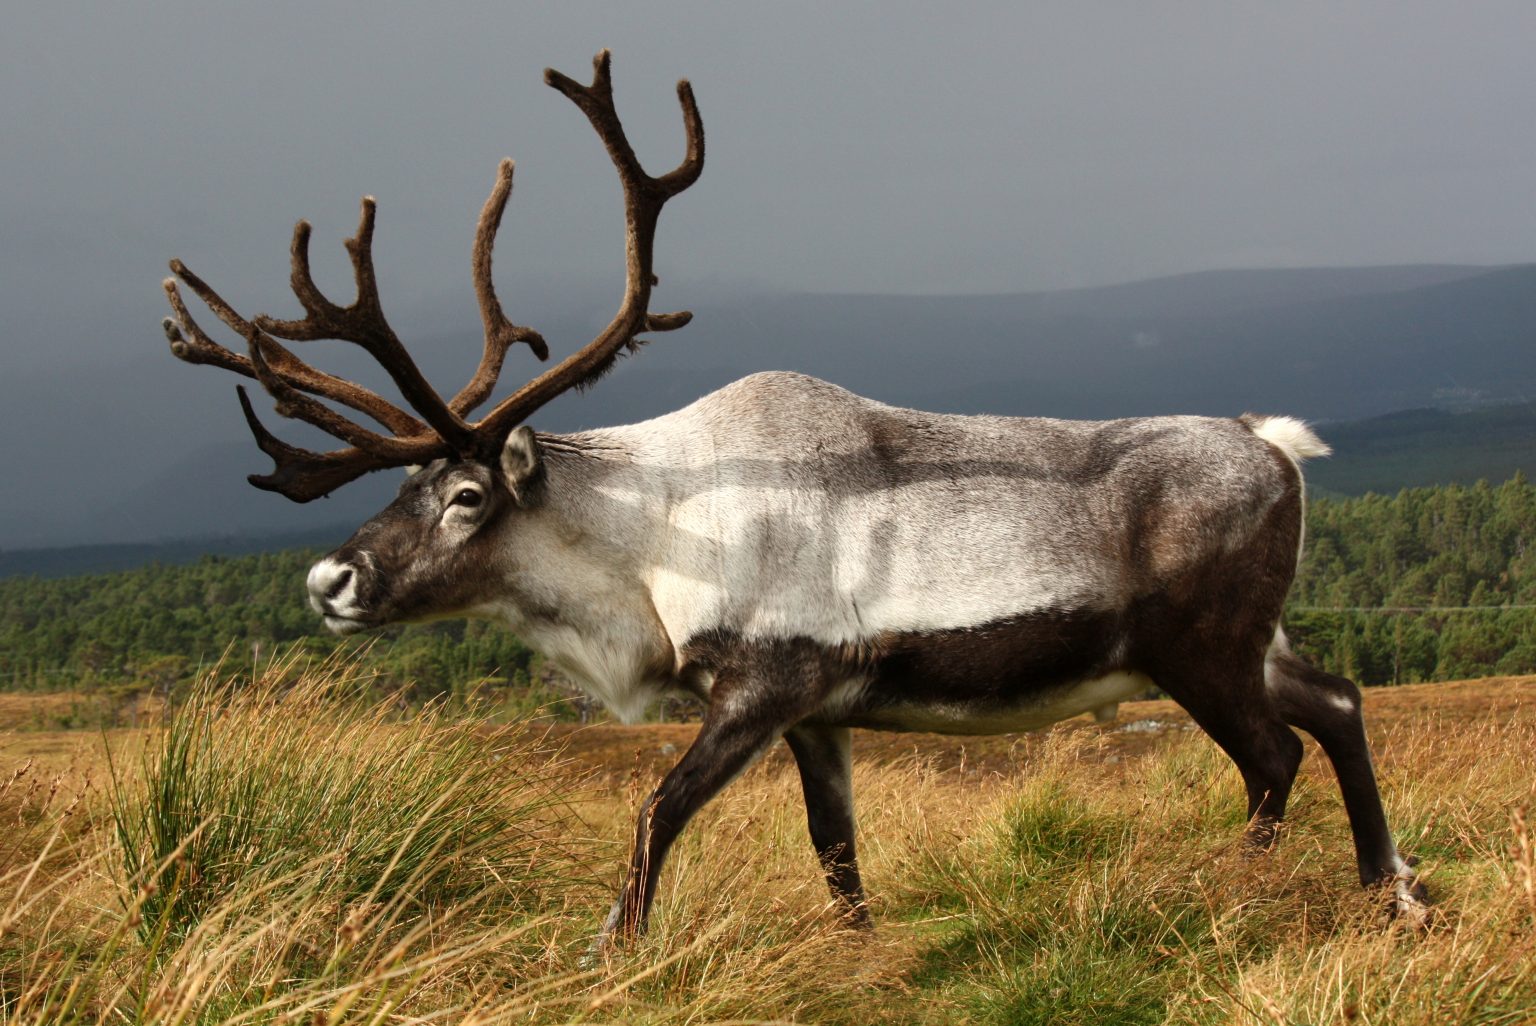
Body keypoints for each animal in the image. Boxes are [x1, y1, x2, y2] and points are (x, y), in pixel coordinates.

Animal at [159, 50, 1428, 950]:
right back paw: (1393, 891)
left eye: (468, 494)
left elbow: (653, 817)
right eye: (409, 483)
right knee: (1339, 702)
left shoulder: (763, 684)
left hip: (1196, 647)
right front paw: (858, 952)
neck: (649, 545)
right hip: (1249, 639)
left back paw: (1233, 893)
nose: (332, 578)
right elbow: (836, 852)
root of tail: (1274, 448)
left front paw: (612, 957)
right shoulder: (820, 712)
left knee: (1274, 754)